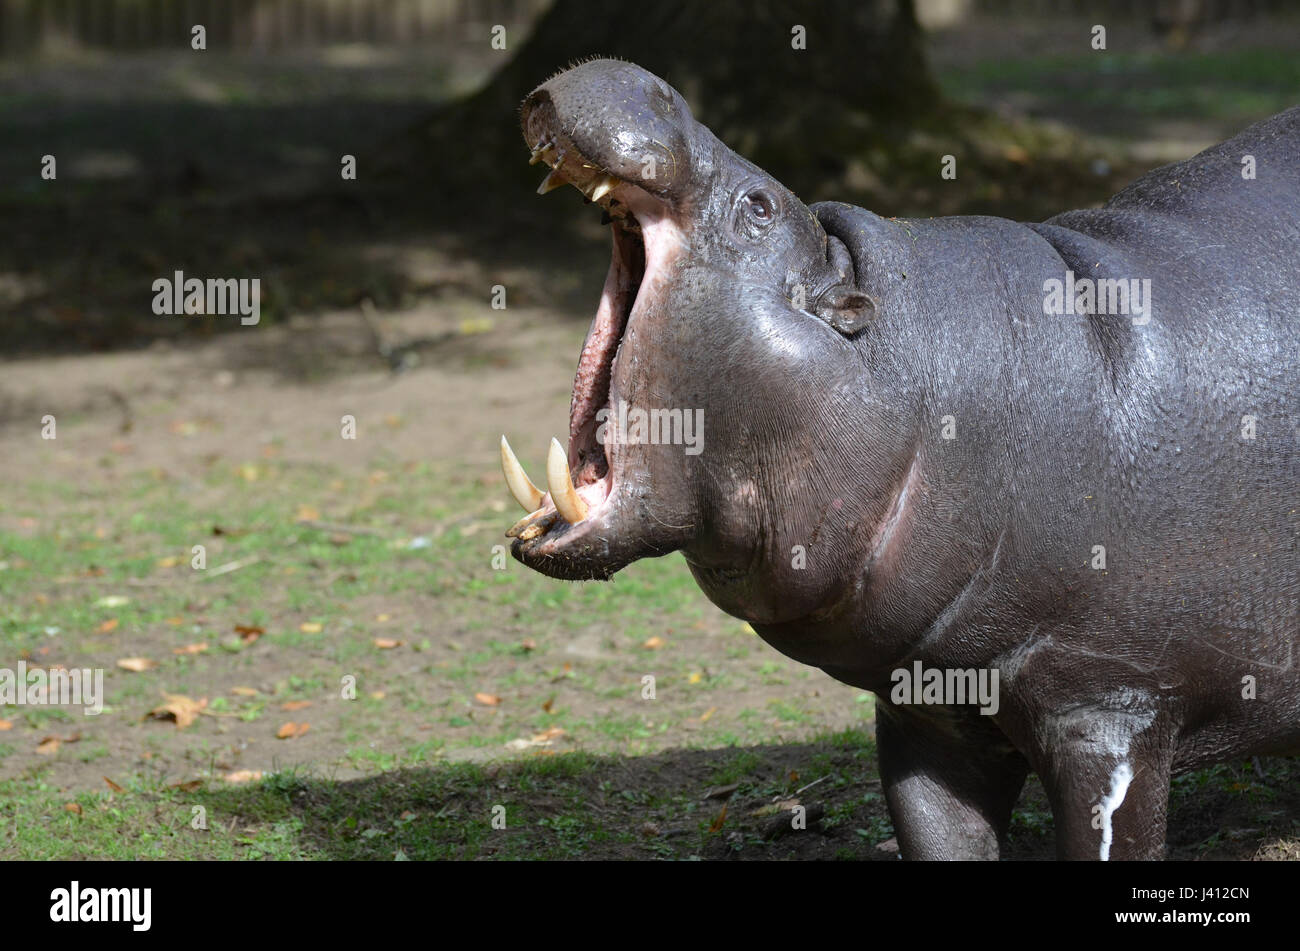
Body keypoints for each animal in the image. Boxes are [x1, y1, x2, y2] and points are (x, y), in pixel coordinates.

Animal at [499, 59, 1299, 860]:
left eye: (759, 207)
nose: (643, 79)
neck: (909, 374)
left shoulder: (1112, 708)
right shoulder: (927, 709)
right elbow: (938, 835)